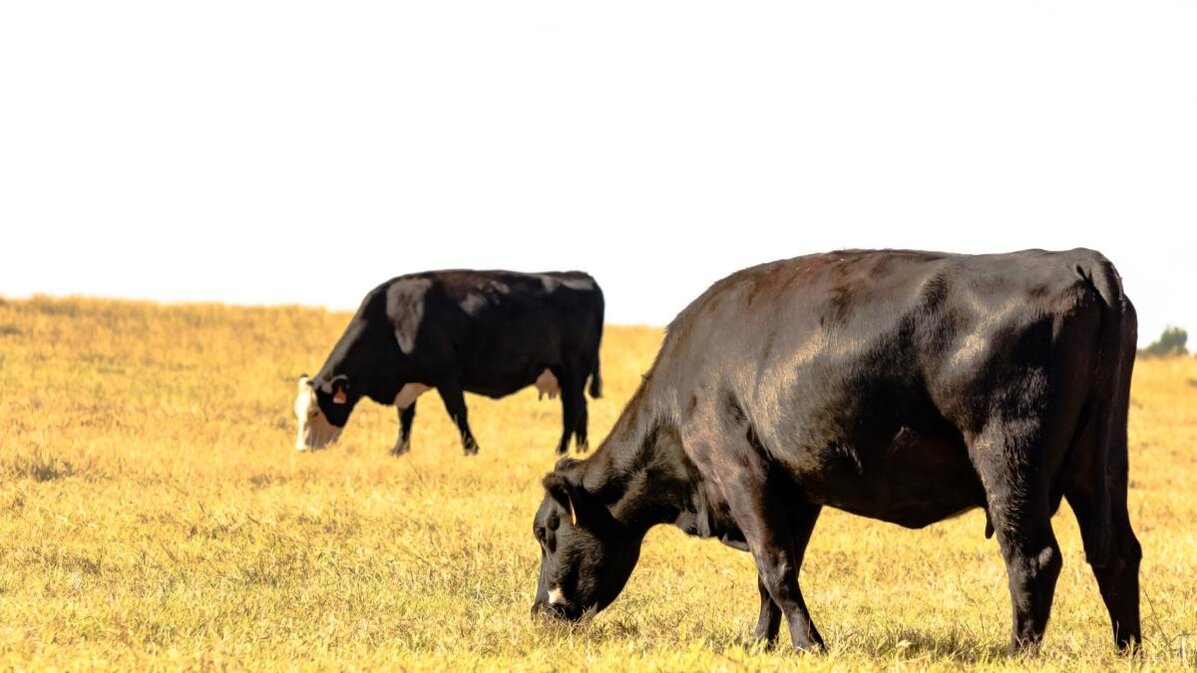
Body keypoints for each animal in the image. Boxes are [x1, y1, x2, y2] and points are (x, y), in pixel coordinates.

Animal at [295, 269, 604, 456]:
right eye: (298, 413)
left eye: (315, 412)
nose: (302, 449)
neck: (393, 319)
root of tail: (580, 276)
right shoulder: (408, 383)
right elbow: (405, 416)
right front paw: (399, 450)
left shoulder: (447, 377)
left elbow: (458, 414)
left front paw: (471, 449)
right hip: (570, 376)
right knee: (581, 408)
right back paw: (582, 449)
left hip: (573, 369)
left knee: (571, 409)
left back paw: (561, 449)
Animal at [531, 249, 1140, 655]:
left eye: (547, 531)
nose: (540, 612)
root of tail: (1075, 260)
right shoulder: (795, 488)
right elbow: (772, 572)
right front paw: (761, 642)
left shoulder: (740, 470)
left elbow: (775, 565)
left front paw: (809, 645)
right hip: (1101, 460)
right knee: (1115, 551)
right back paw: (1125, 649)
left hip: (1009, 460)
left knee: (1033, 557)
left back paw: (1015, 654)